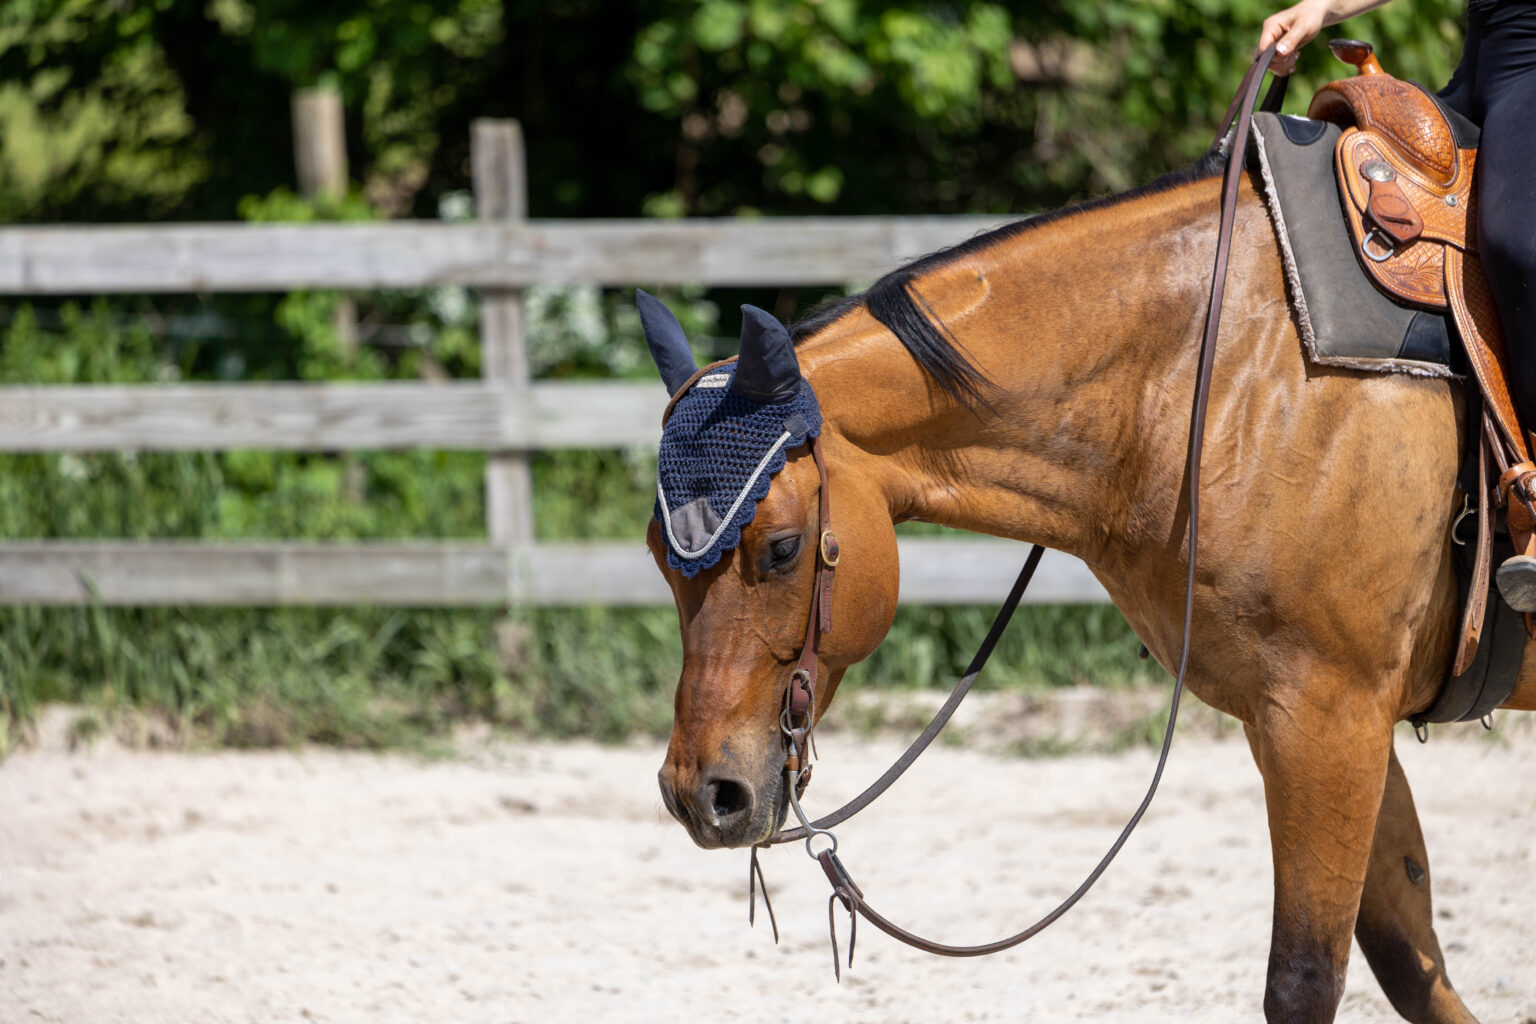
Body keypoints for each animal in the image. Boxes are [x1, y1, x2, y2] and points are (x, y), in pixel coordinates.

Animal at [640, 145, 1536, 1023]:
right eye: (657, 552)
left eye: (784, 547)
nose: (700, 793)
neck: (1226, 379)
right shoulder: (1309, 722)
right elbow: (1409, 961)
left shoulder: (1331, 714)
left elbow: (1306, 979)